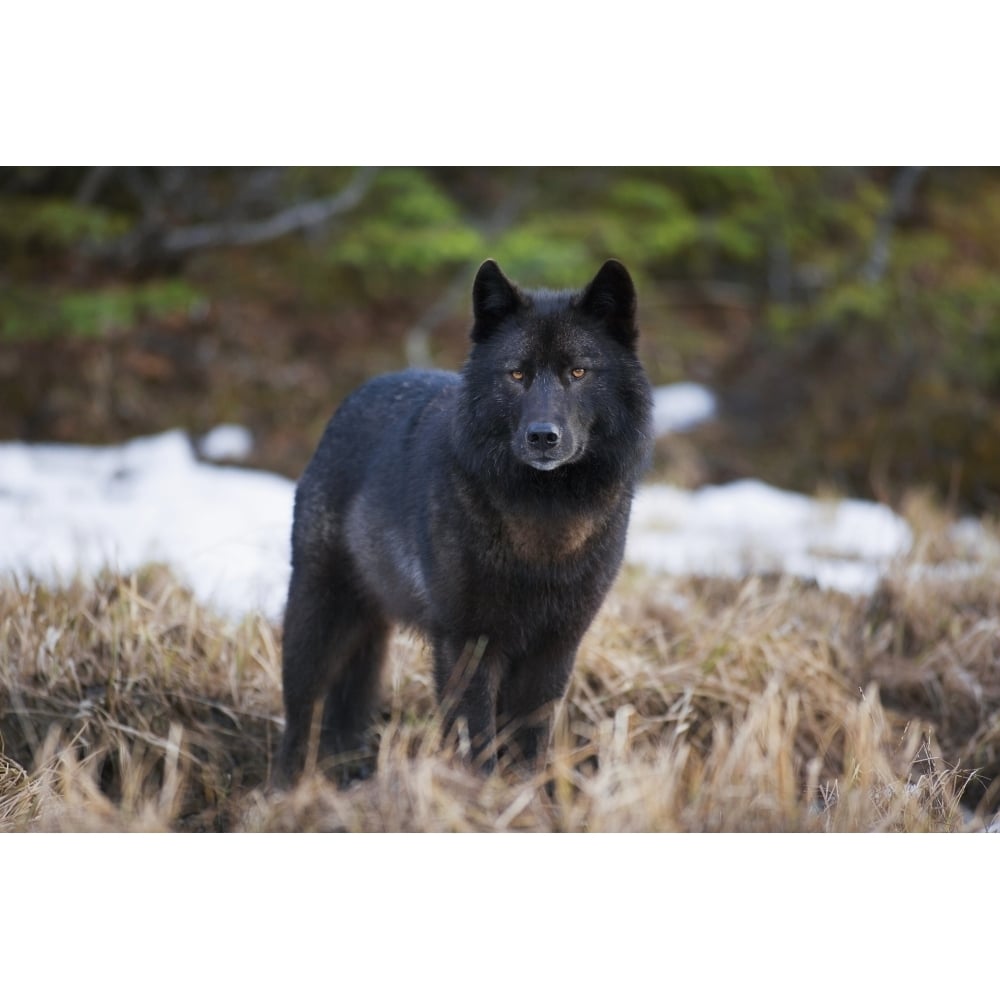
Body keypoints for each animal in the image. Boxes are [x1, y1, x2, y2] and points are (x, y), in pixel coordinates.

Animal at [277, 259, 653, 784]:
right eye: (516, 373)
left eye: (578, 371)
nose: (543, 436)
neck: (544, 525)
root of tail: (354, 396)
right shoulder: (466, 645)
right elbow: (476, 739)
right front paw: (480, 792)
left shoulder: (554, 648)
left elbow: (529, 741)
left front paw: (524, 796)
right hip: (317, 619)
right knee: (299, 714)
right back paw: (286, 791)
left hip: (368, 634)